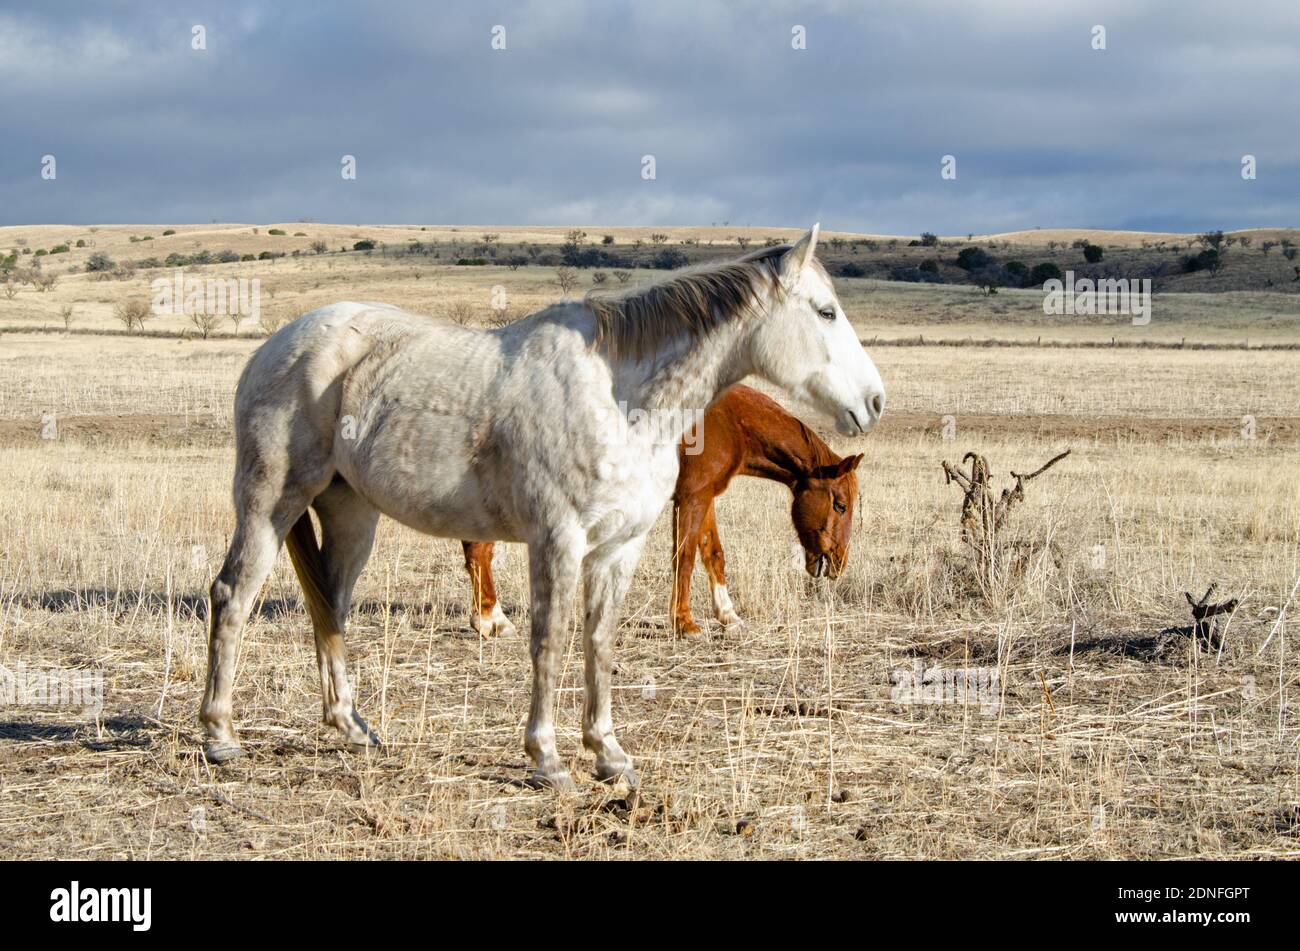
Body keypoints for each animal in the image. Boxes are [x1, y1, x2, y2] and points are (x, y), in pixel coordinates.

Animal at [461, 383, 864, 639]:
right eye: (840, 504)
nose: (839, 562)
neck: (731, 421)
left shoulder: (704, 496)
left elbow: (713, 554)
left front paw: (728, 616)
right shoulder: (692, 498)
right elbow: (684, 557)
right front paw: (685, 624)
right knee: (480, 548)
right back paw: (491, 621)